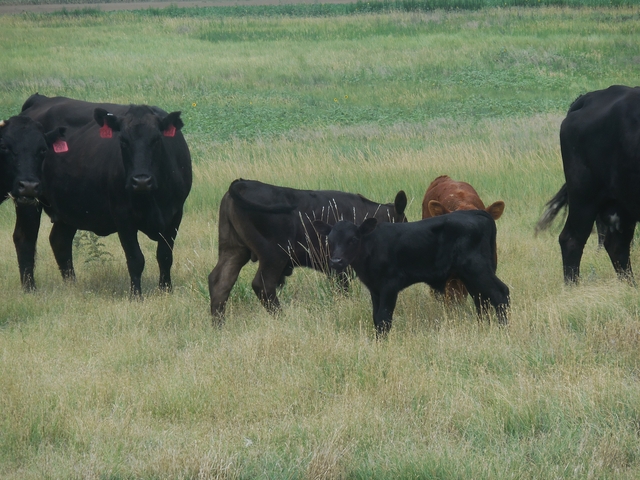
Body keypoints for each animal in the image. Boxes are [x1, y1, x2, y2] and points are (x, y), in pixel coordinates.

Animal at [19, 94, 192, 295]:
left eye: (156, 139)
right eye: (123, 141)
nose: (141, 180)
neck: (152, 198)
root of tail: (41, 99)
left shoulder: (175, 215)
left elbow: (164, 256)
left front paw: (166, 290)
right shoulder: (123, 216)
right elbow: (135, 259)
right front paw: (136, 295)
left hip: (69, 207)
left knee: (59, 241)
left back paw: (71, 285)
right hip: (27, 196)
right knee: (25, 239)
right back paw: (29, 288)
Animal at [208, 179, 408, 318]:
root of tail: (243, 183)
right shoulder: (340, 267)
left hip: (233, 249)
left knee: (220, 282)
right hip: (274, 255)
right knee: (263, 285)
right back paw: (282, 318)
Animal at [314, 210, 510, 337]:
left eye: (353, 239)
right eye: (330, 240)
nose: (336, 261)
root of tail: (476, 213)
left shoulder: (389, 285)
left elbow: (384, 318)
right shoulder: (375, 288)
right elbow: (376, 317)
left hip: (477, 267)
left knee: (500, 293)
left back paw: (504, 330)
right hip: (469, 274)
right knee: (481, 299)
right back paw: (484, 328)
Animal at [536, 85, 640, 284]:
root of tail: (590, 98)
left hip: (621, 203)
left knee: (617, 245)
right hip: (585, 197)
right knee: (571, 239)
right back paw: (573, 287)